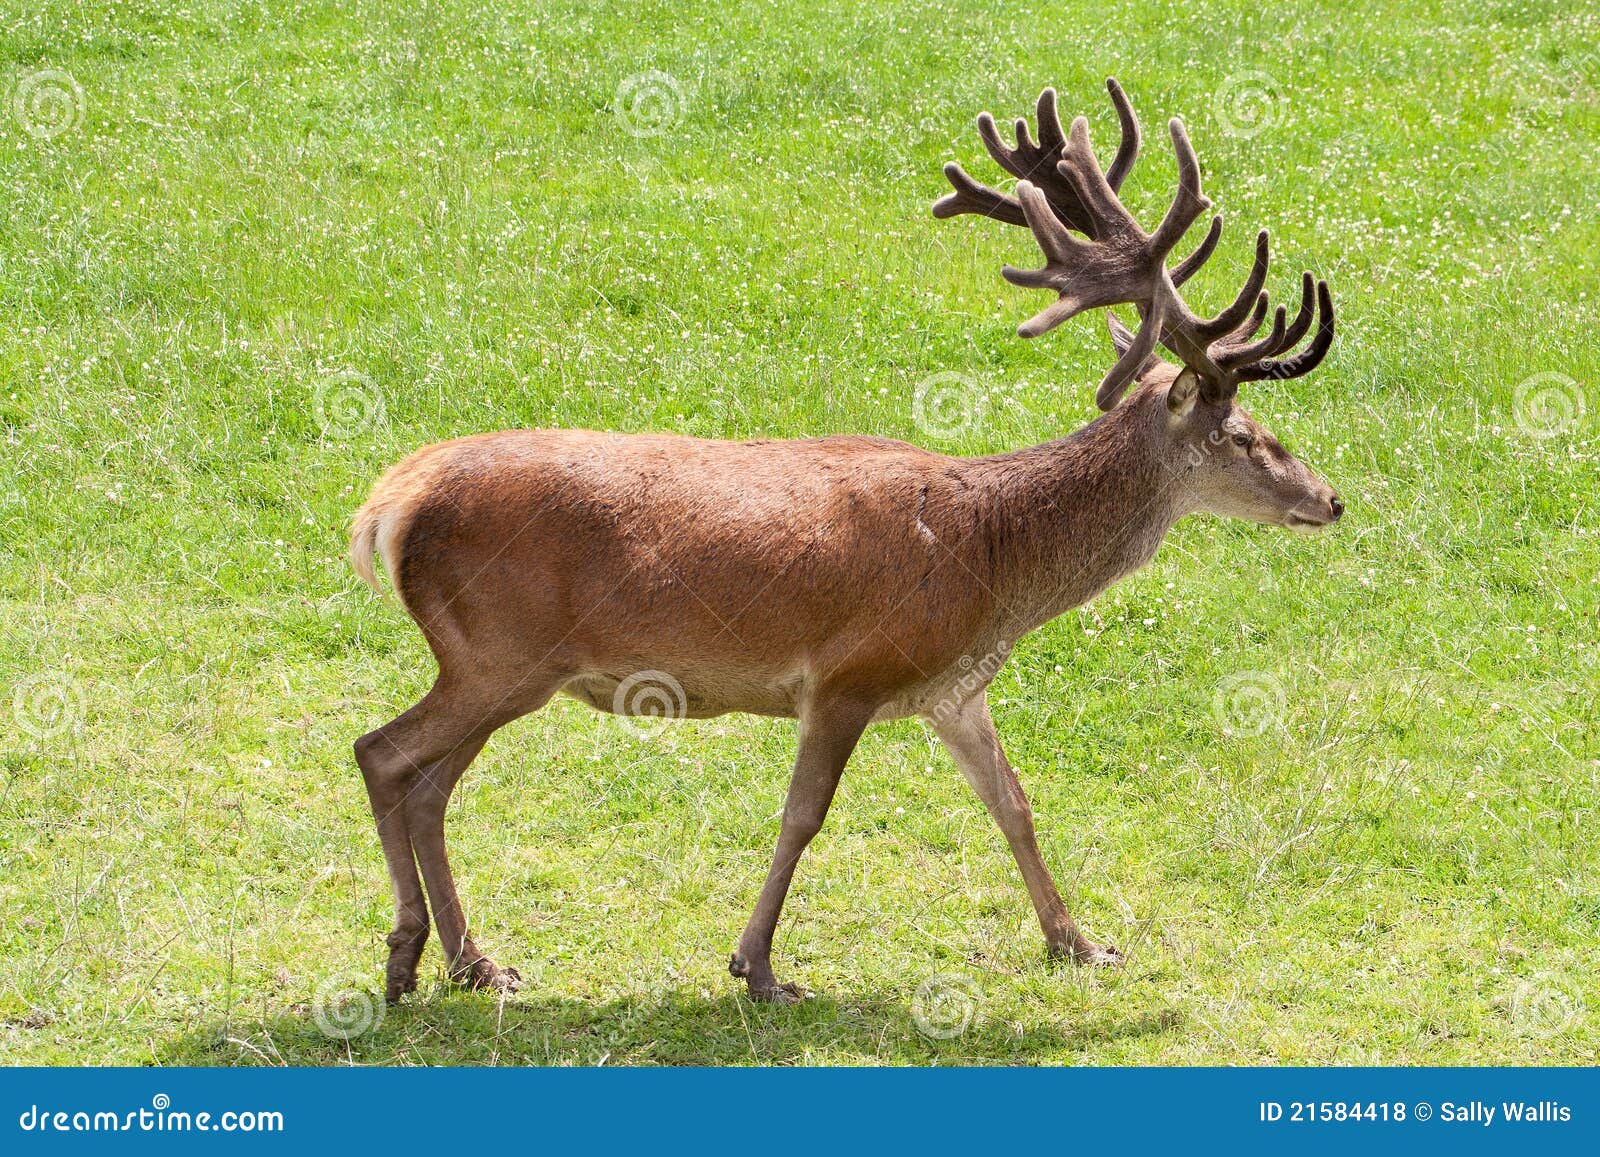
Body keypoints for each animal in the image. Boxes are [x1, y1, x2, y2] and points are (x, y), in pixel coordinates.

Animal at [348, 79, 1342, 1005]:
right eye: (1244, 433)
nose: (1329, 499)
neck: (996, 563)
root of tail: (389, 502)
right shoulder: (847, 671)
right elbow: (803, 815)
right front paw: (757, 967)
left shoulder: (953, 686)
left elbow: (1013, 802)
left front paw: (1079, 942)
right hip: (498, 650)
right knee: (384, 752)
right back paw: (407, 953)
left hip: (507, 664)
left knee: (428, 781)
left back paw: (473, 961)